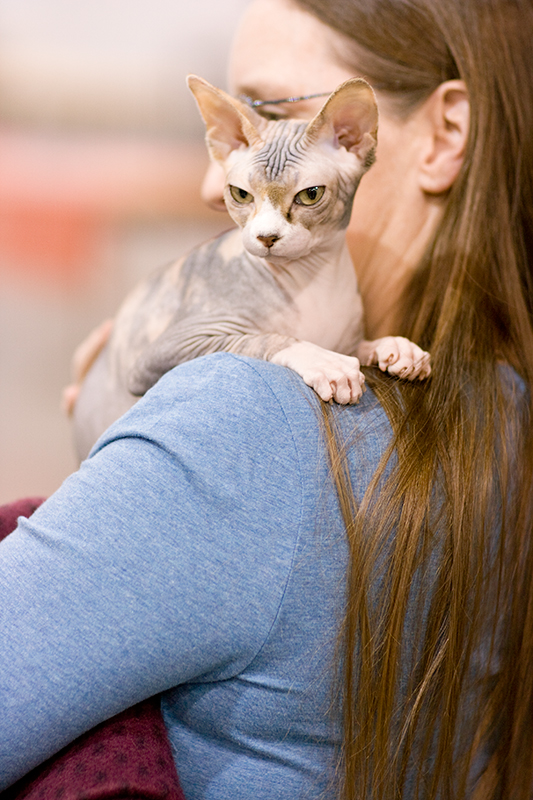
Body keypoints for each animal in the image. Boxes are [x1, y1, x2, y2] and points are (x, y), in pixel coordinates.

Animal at [71, 76, 428, 462]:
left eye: (311, 195)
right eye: (240, 194)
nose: (266, 236)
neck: (310, 276)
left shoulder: (344, 337)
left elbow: (359, 345)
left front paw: (395, 347)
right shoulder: (159, 354)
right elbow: (257, 338)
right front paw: (324, 362)